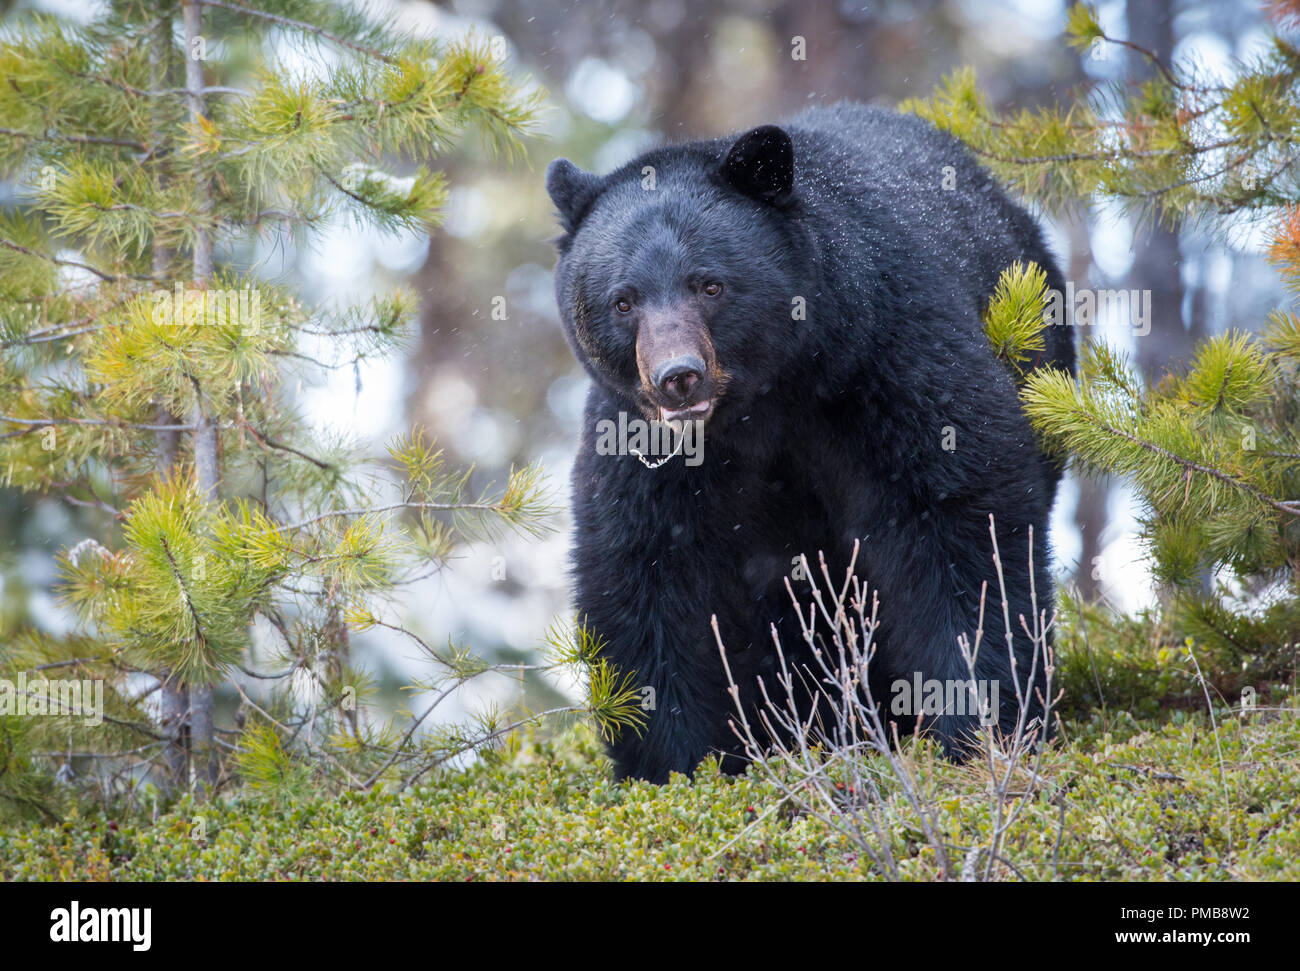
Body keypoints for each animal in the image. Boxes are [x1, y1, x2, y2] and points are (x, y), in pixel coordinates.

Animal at [546, 102, 1075, 784]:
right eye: (623, 301)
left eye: (709, 284)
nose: (677, 376)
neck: (767, 401)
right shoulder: (645, 448)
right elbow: (646, 574)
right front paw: (675, 767)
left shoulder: (889, 356)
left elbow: (958, 523)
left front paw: (978, 730)